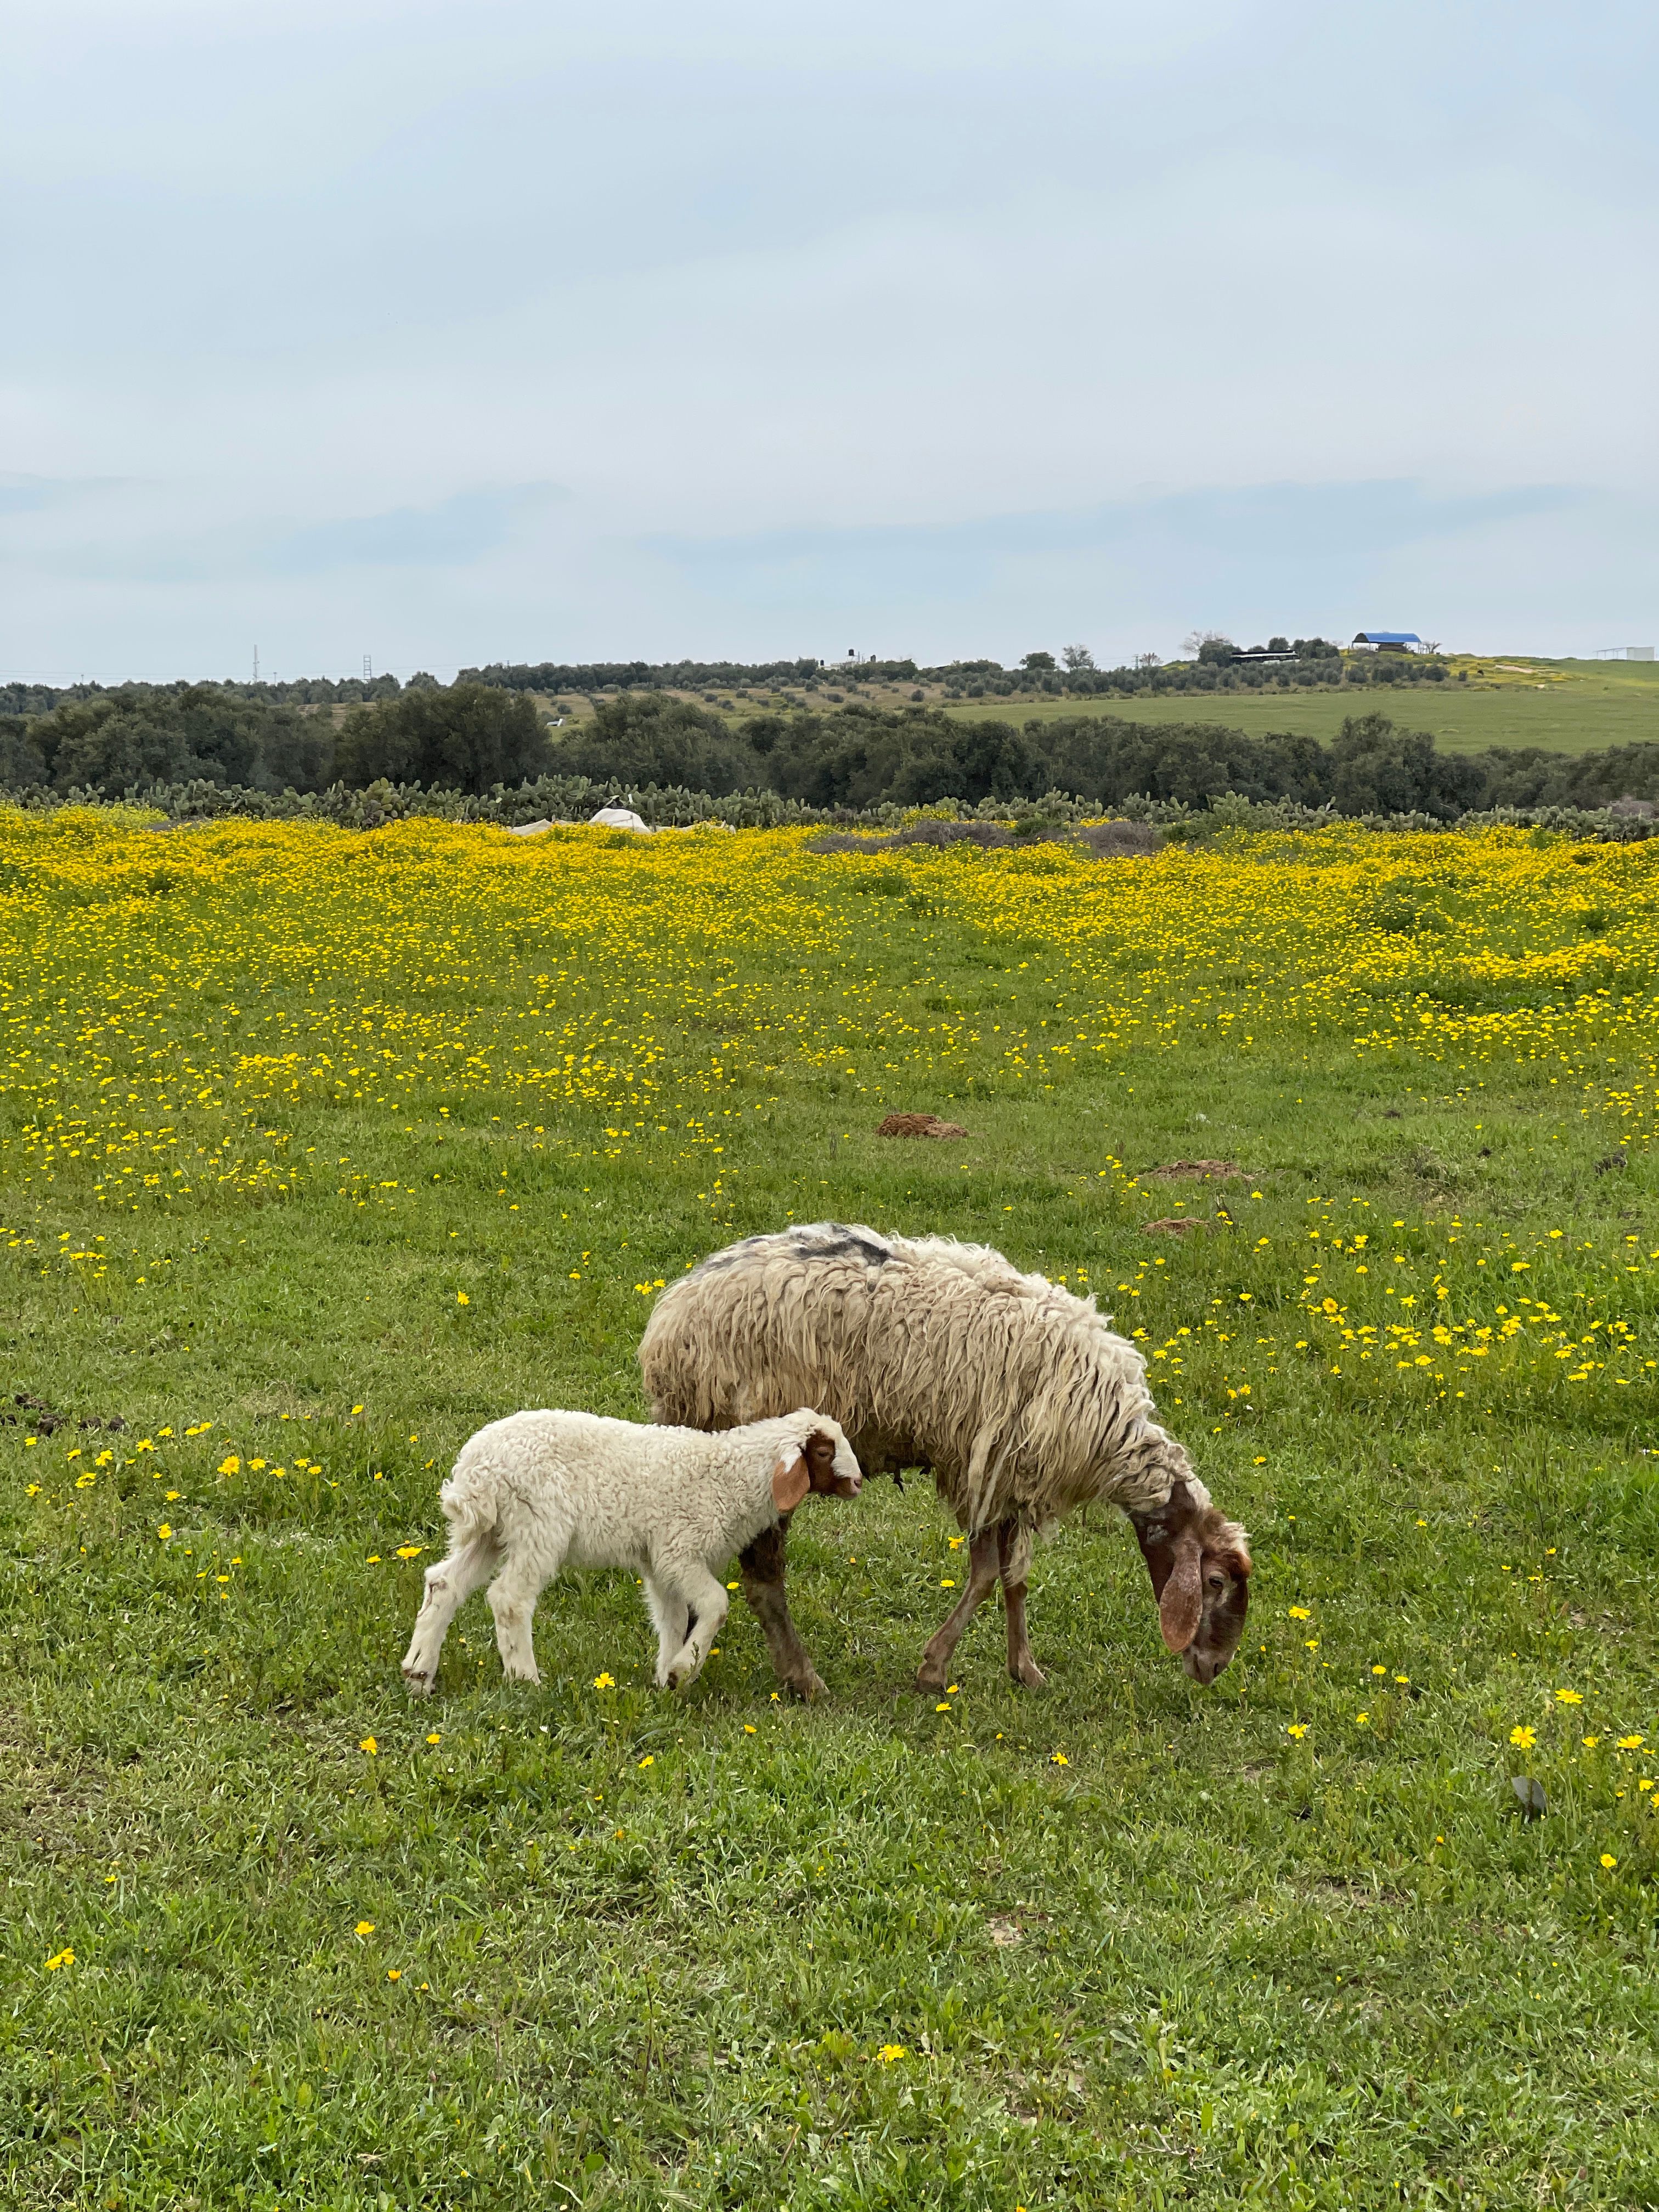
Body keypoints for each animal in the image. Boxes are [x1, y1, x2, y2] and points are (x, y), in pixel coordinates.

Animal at [400, 1406, 862, 1697]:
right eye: (824, 1452)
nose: (858, 1482)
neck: (731, 1476)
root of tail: (476, 1471)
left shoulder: (660, 1562)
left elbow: (672, 1619)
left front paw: (666, 1679)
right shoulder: (680, 1549)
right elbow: (716, 1604)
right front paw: (683, 1670)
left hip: (490, 1531)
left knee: (443, 1583)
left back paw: (419, 1674)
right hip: (539, 1525)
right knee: (509, 1599)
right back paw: (526, 1681)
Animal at [639, 1222, 1251, 1698]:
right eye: (1216, 1582)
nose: (1217, 1668)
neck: (1112, 1435)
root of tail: (669, 1319)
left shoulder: (1012, 1479)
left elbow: (1015, 1578)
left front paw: (1025, 1670)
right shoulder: (985, 1470)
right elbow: (985, 1576)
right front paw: (934, 1669)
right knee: (764, 1577)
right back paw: (801, 1678)